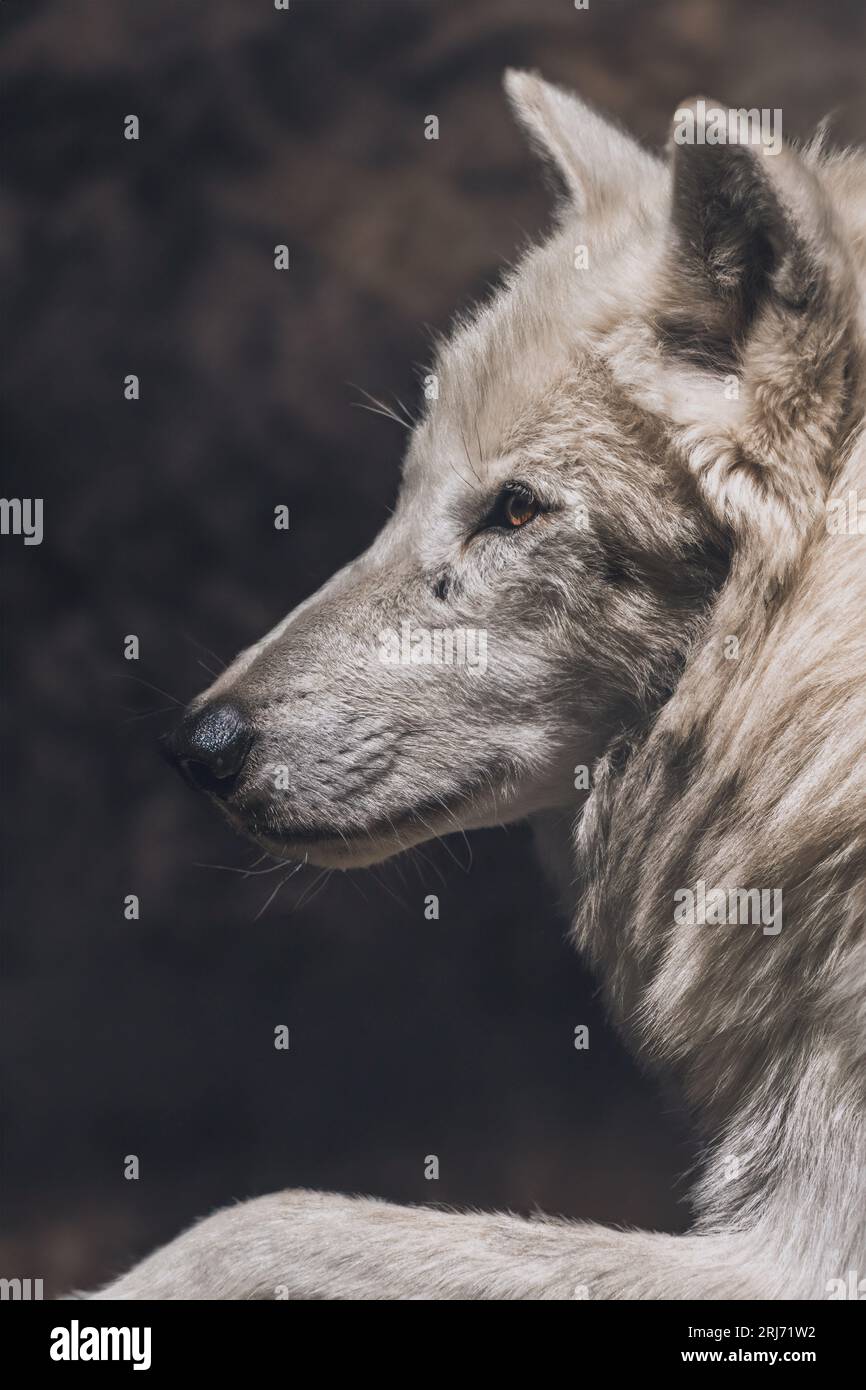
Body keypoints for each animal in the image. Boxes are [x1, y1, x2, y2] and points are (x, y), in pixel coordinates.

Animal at [93, 72, 866, 1299]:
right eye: (404, 492)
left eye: (515, 511)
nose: (201, 745)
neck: (819, 674)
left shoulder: (809, 1248)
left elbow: (254, 1219)